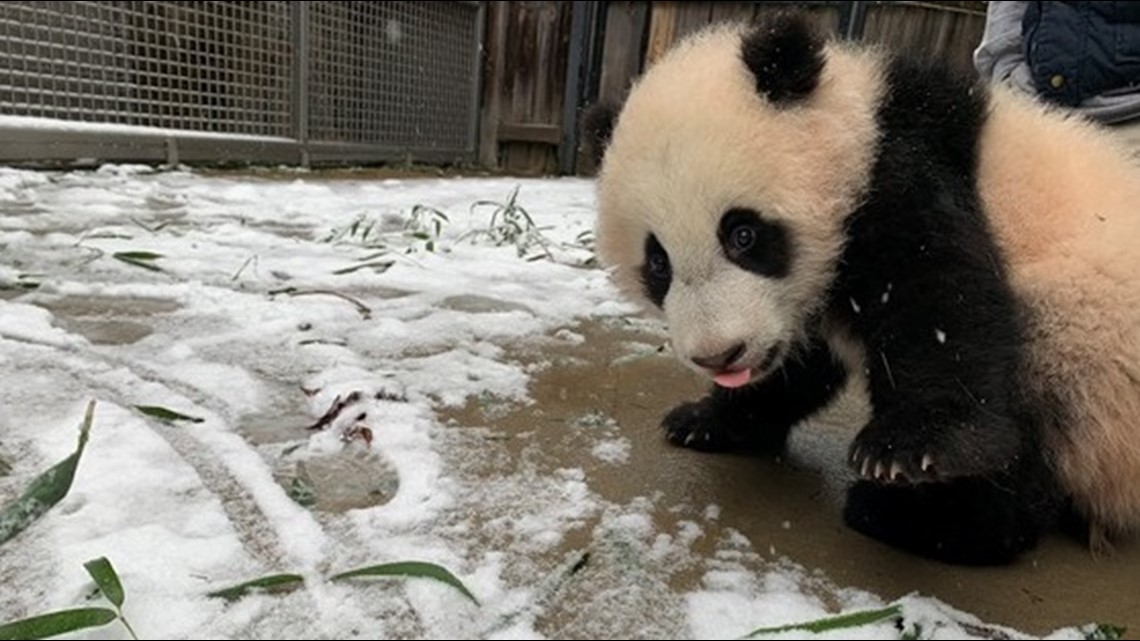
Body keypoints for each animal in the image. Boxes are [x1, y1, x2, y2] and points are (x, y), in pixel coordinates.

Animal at [584, 12, 1140, 566]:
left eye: (743, 234)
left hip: (1083, 336)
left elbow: (936, 300)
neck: (857, 124)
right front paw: (708, 419)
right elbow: (800, 365)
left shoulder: (901, 176)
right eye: (658, 264)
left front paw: (906, 449)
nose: (721, 356)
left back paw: (928, 518)